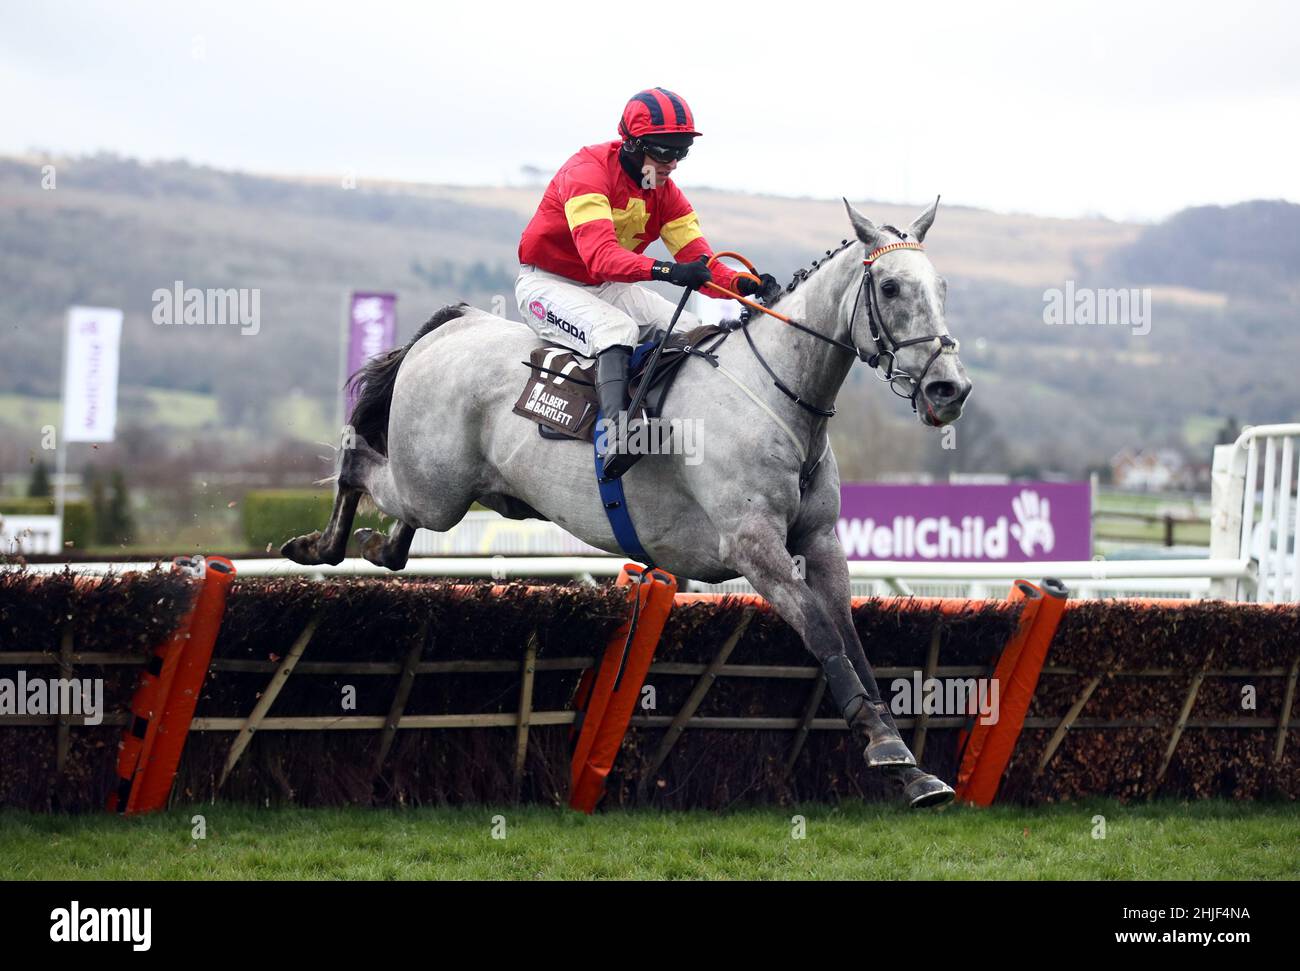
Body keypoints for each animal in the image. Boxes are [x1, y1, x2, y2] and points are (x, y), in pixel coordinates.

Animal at [283, 197, 973, 807]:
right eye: (890, 287)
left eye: (942, 286)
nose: (949, 388)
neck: (777, 393)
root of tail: (455, 324)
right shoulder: (752, 545)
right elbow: (823, 633)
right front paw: (887, 747)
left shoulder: (821, 541)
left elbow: (853, 640)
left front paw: (913, 770)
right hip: (436, 488)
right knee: (358, 461)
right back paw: (320, 543)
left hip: (445, 489)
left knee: (396, 525)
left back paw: (377, 546)